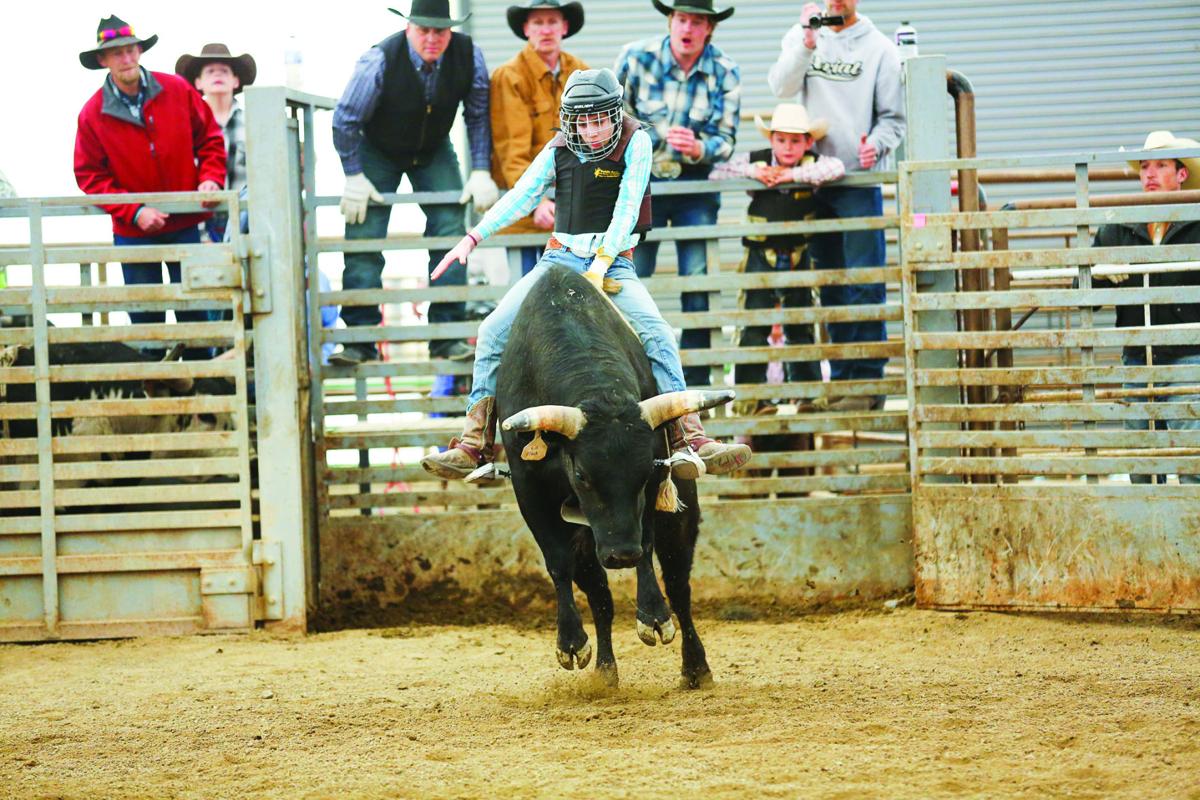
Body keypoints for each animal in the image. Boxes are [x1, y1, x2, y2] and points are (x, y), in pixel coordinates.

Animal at [496, 266, 730, 689]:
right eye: (581, 474)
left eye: (645, 470)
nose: (621, 554)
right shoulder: (529, 490)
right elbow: (557, 562)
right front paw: (571, 641)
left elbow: (648, 544)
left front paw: (652, 615)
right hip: (587, 543)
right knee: (599, 596)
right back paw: (605, 670)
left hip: (680, 516)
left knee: (679, 585)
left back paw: (696, 667)